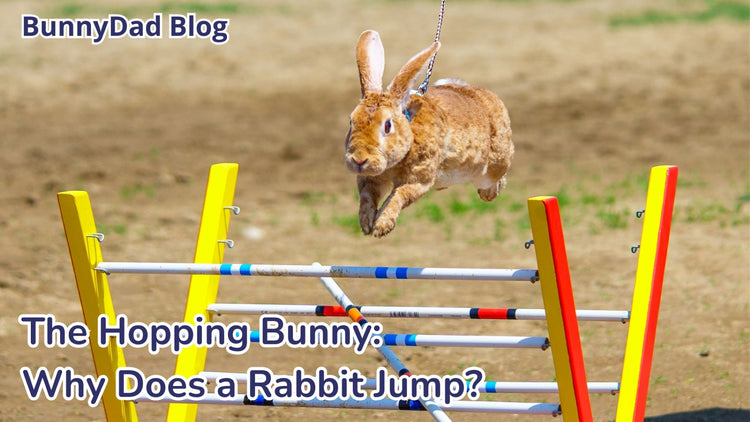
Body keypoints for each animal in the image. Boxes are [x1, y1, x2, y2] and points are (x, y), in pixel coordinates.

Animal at [345, 30, 513, 237]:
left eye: (387, 125)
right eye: (351, 122)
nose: (359, 160)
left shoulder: (419, 180)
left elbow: (398, 196)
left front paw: (381, 226)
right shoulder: (371, 180)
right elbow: (367, 197)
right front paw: (366, 223)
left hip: (493, 166)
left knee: (495, 179)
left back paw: (488, 193)